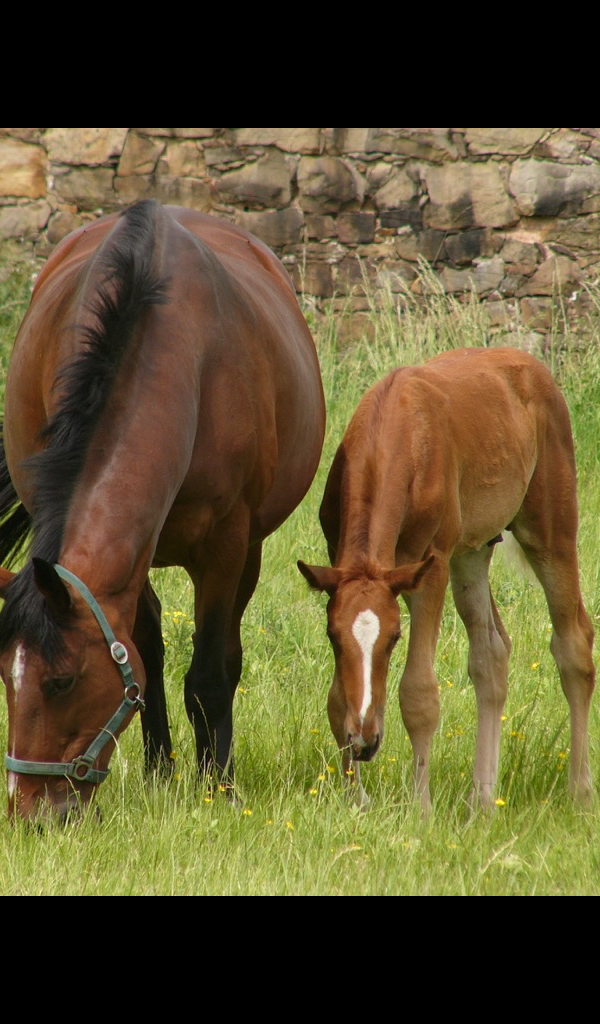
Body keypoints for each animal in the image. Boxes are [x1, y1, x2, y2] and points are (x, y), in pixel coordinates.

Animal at [0, 199, 325, 822]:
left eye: (62, 682)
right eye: (5, 677)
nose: (31, 813)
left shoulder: (225, 547)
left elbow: (211, 675)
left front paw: (218, 786)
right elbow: (146, 655)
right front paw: (163, 773)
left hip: (247, 551)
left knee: (225, 656)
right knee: (149, 643)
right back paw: (160, 768)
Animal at [298, 347, 594, 811]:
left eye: (395, 639)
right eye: (331, 636)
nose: (365, 741)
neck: (397, 434)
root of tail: (533, 365)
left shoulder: (430, 569)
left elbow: (419, 693)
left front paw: (421, 808)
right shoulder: (340, 564)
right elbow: (336, 698)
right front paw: (356, 800)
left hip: (549, 531)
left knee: (574, 644)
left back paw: (579, 791)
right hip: (472, 552)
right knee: (491, 654)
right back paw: (482, 801)